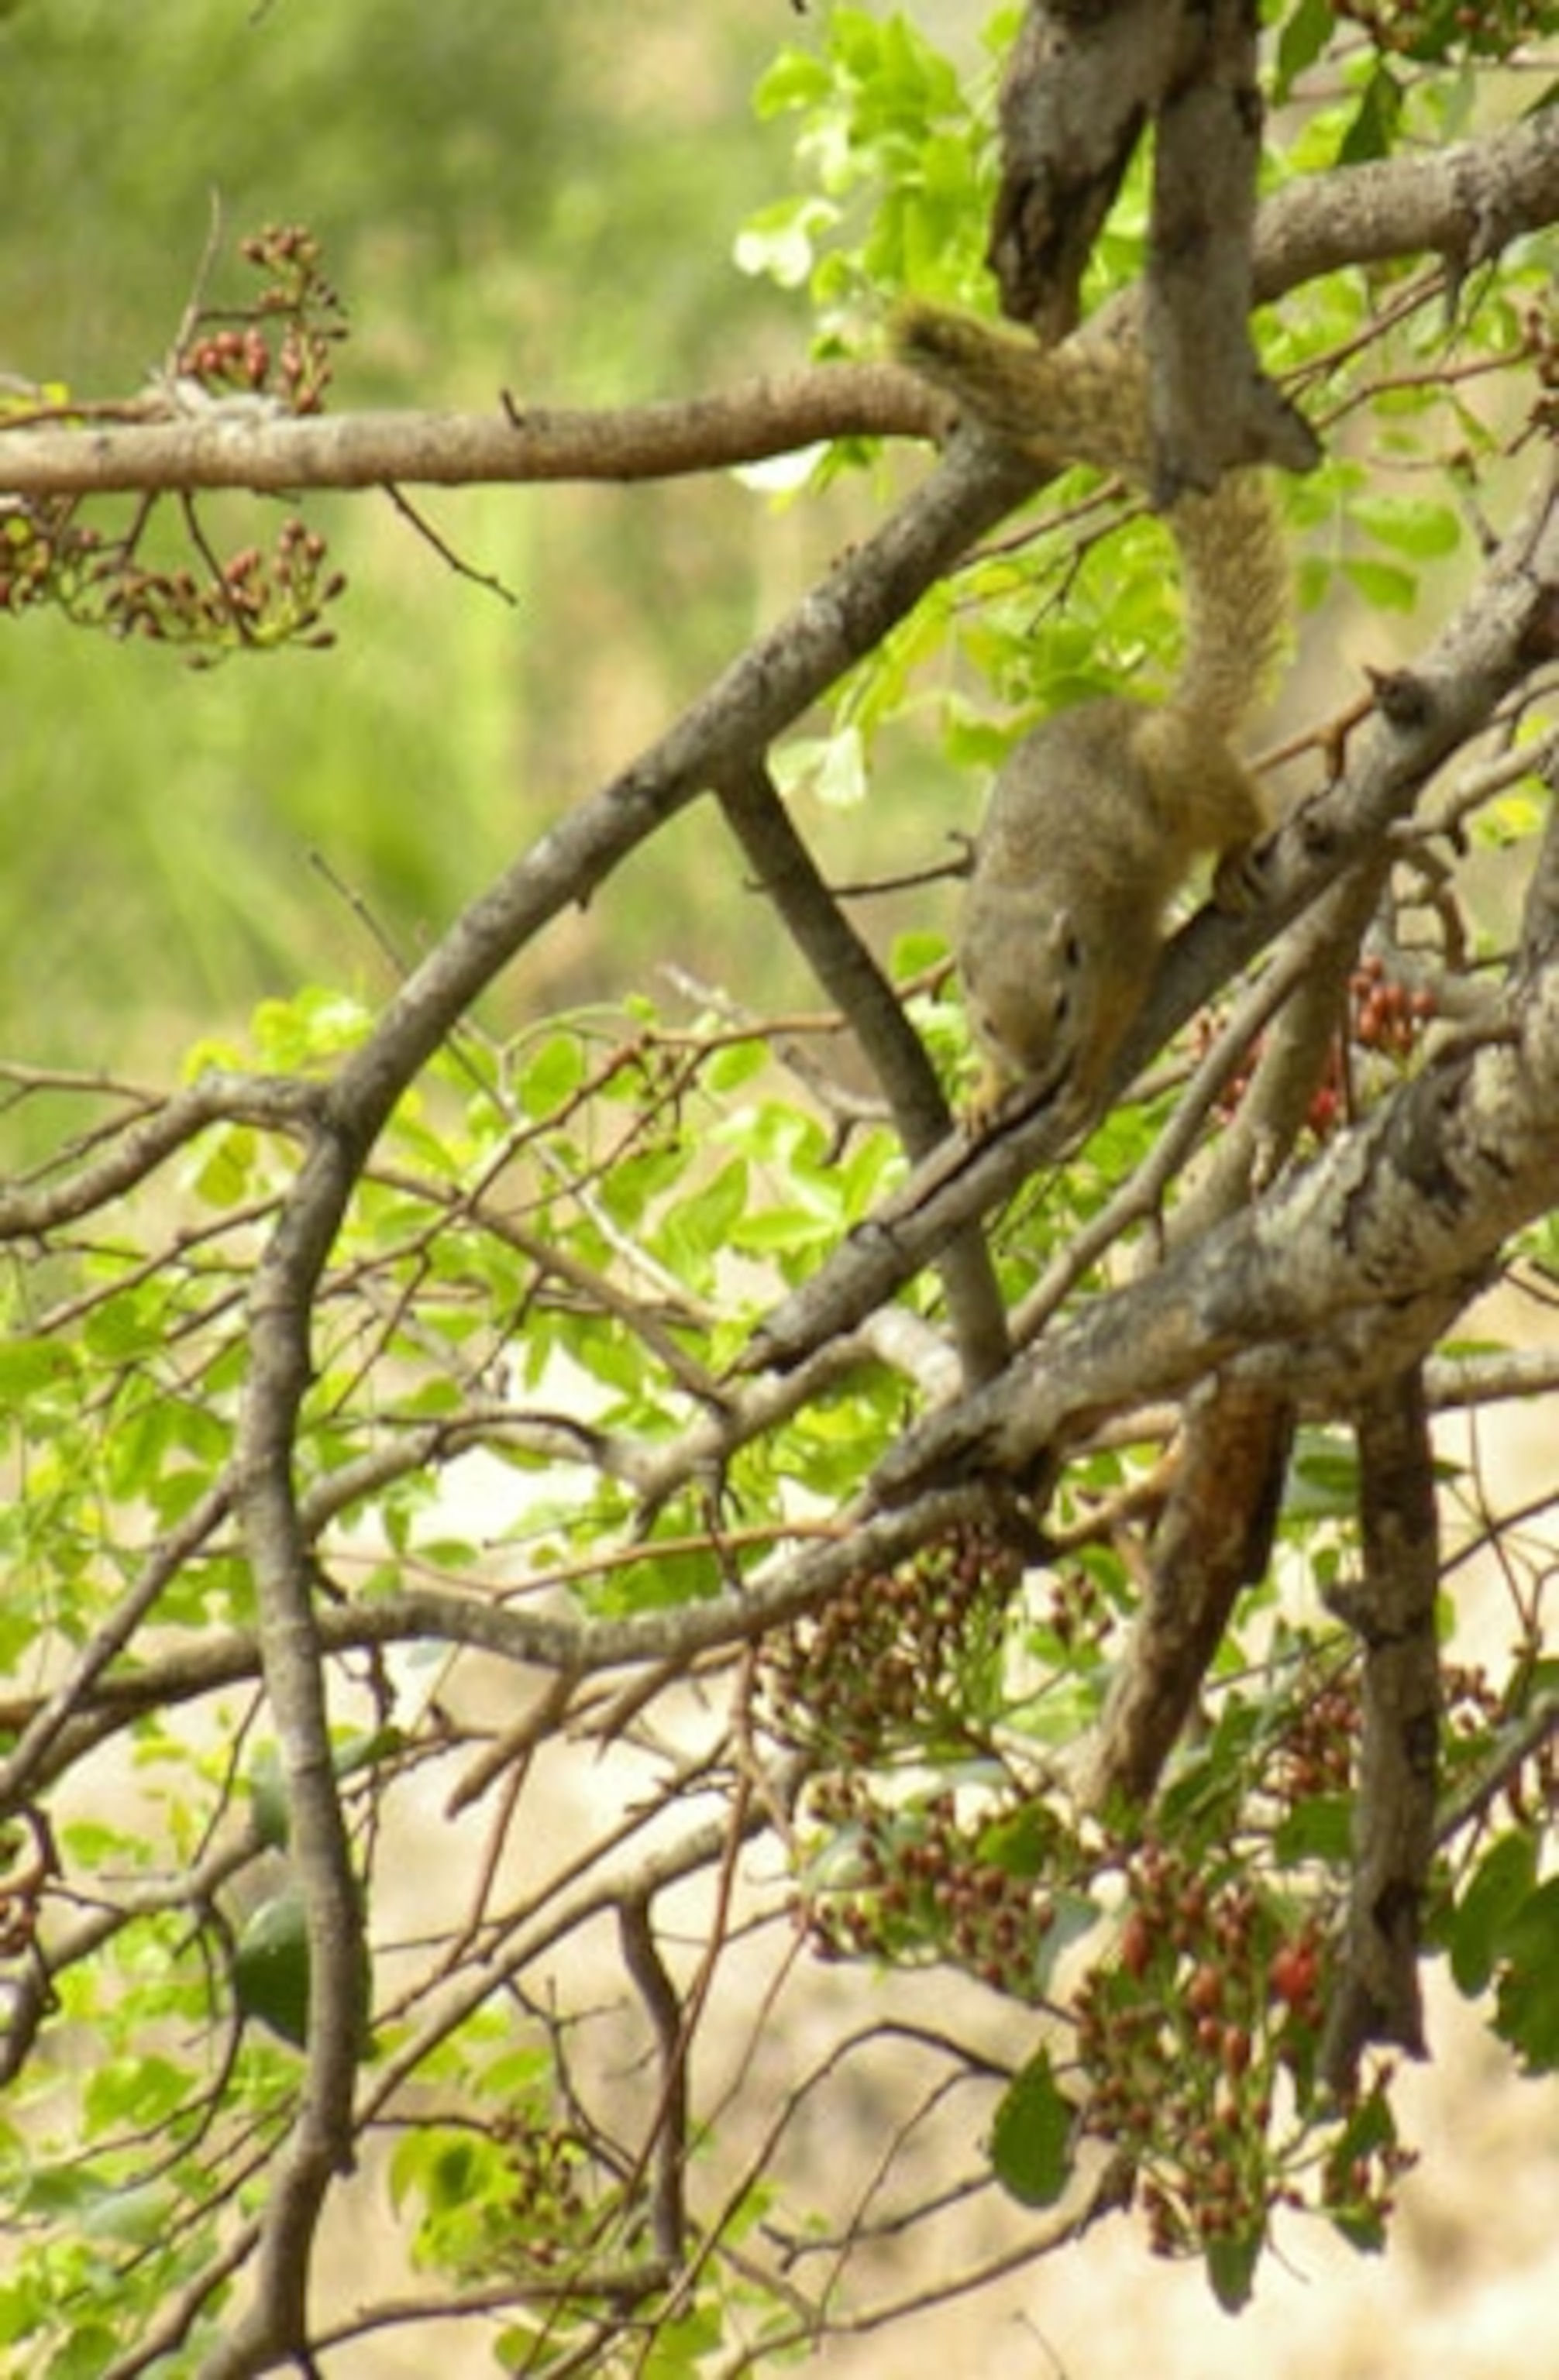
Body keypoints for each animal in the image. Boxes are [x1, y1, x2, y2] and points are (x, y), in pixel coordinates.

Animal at [893, 302, 1290, 1122]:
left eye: (1060, 1003)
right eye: (985, 1024)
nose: (1035, 1065)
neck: (1029, 893)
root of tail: (1164, 713)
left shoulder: (1121, 932)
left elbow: (1128, 1001)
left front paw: (1087, 1076)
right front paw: (985, 1094)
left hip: (1177, 767)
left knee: (1247, 810)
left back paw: (1235, 859)